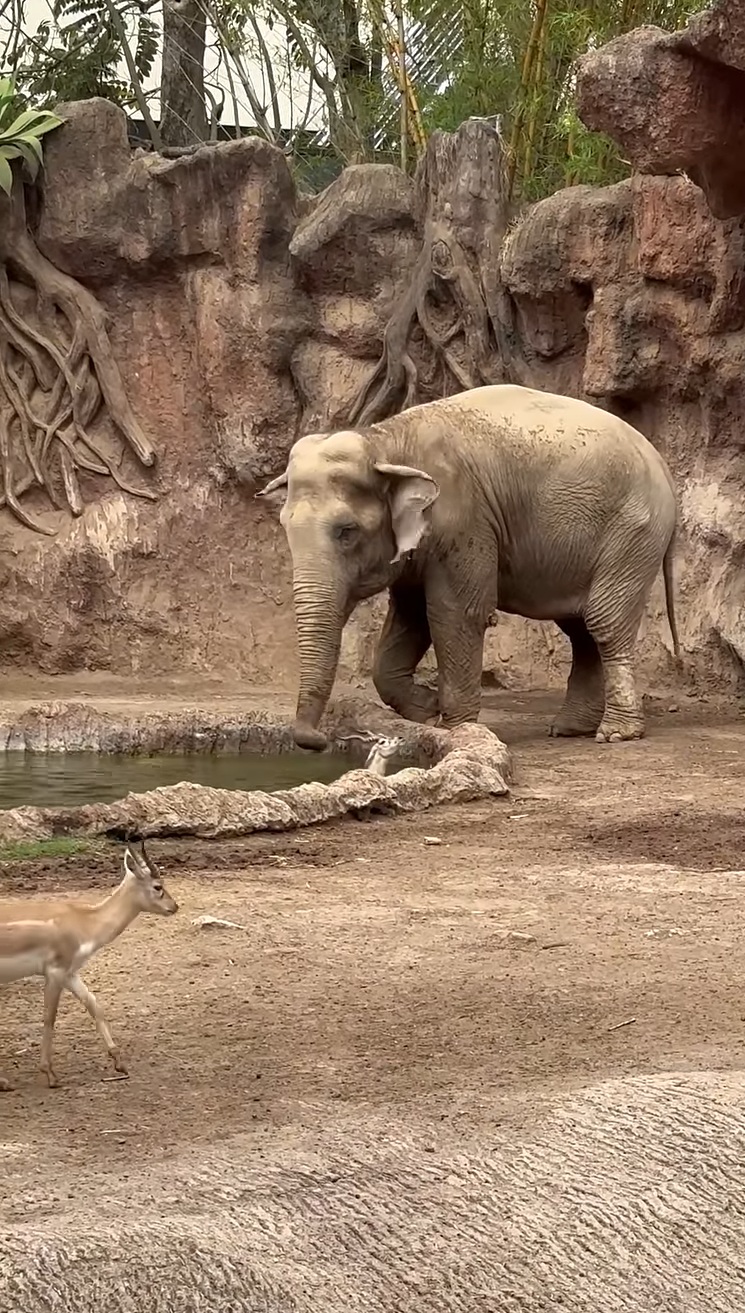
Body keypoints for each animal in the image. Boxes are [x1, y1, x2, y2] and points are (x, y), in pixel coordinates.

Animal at [0, 840, 178, 1091]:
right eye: (157, 886)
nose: (175, 906)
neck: (85, 921)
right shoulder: (54, 971)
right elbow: (49, 1017)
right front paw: (50, 1074)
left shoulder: (70, 973)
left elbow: (94, 1005)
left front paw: (119, 1063)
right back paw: (5, 1082)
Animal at [258, 384, 680, 752]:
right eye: (283, 526)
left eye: (347, 531)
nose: (316, 740)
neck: (385, 440)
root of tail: (663, 464)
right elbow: (410, 617)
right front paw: (427, 711)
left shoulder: (464, 519)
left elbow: (454, 613)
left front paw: (456, 730)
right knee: (580, 628)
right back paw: (569, 729)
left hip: (633, 532)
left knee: (603, 621)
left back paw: (615, 734)